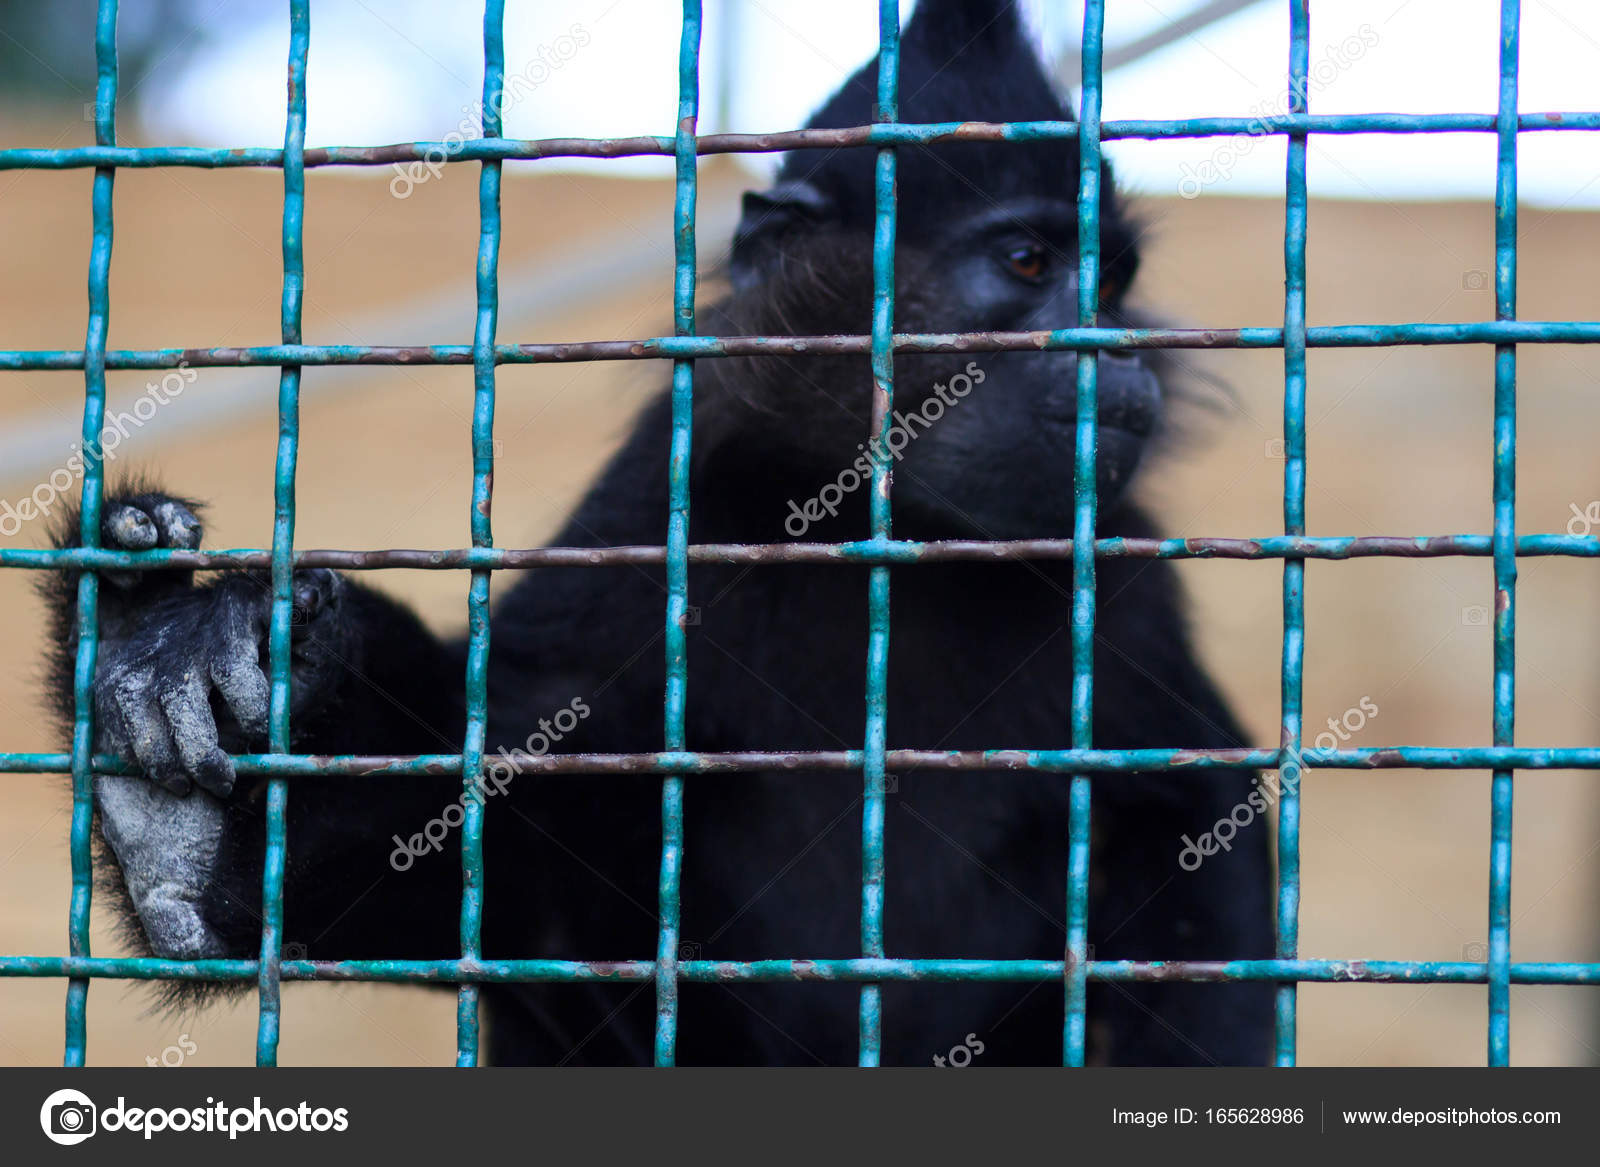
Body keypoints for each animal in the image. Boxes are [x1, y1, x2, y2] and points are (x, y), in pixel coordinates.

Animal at [38, 0, 1273, 1065]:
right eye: (1026, 263)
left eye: (1113, 282)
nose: (1115, 348)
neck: (892, 533)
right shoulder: (650, 518)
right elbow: (470, 843)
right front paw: (175, 689)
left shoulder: (1128, 587)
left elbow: (1203, 826)